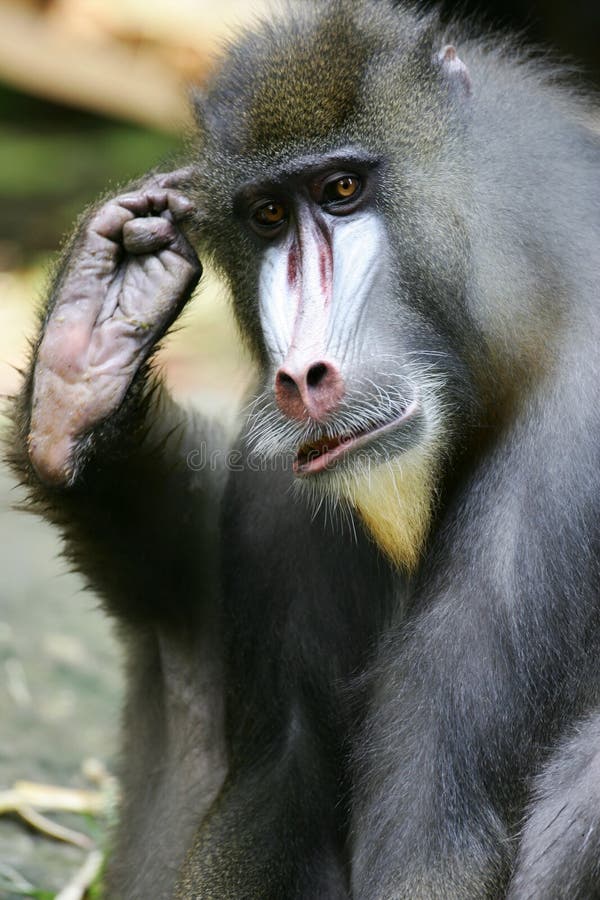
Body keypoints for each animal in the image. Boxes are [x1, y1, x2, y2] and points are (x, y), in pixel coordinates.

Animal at [6, 0, 600, 897]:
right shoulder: (273, 481)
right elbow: (272, 788)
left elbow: (434, 833)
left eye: (342, 190)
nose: (302, 376)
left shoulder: (559, 470)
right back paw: (74, 394)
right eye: (269, 218)